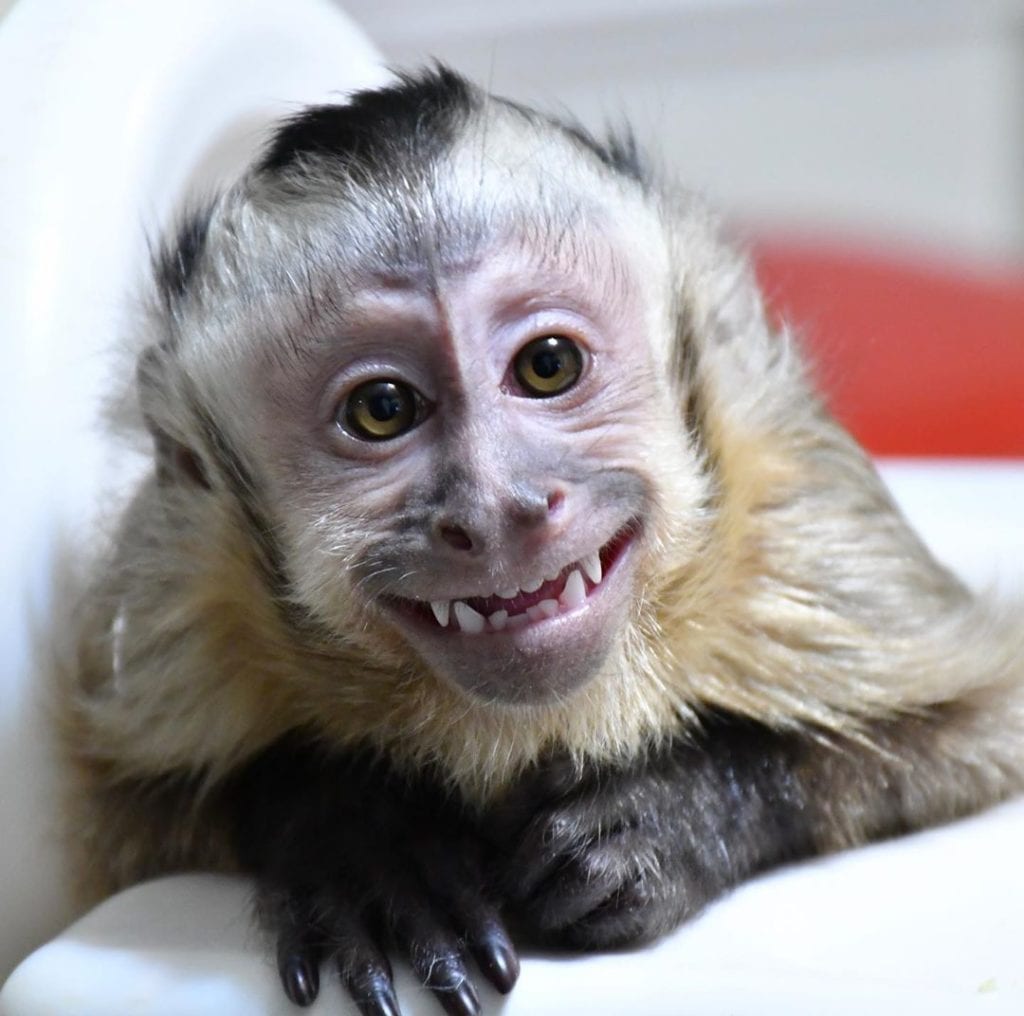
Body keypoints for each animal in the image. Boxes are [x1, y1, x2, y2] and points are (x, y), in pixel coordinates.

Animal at [56, 66, 1024, 1016]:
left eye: (548, 365)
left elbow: (982, 726)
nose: (497, 507)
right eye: (383, 409)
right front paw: (360, 843)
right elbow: (125, 815)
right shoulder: (187, 589)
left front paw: (677, 819)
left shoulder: (794, 515)